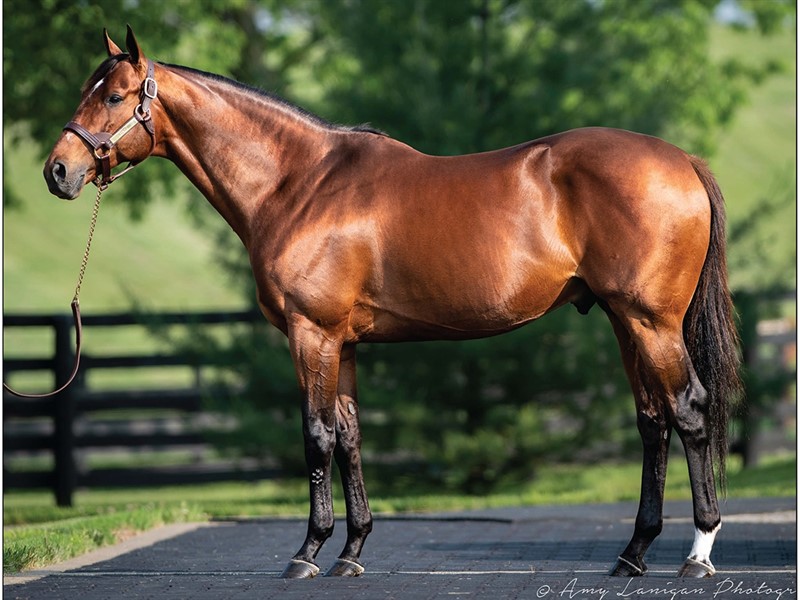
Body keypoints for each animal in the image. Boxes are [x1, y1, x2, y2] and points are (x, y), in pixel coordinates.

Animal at [43, 27, 741, 579]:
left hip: (651, 322)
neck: (298, 182)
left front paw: (307, 553)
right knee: (652, 422)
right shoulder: (343, 342)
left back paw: (697, 553)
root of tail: (681, 160)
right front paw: (351, 552)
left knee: (689, 409)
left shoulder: (312, 333)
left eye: (112, 96)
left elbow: (317, 436)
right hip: (625, 323)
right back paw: (633, 554)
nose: (57, 171)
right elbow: (350, 436)